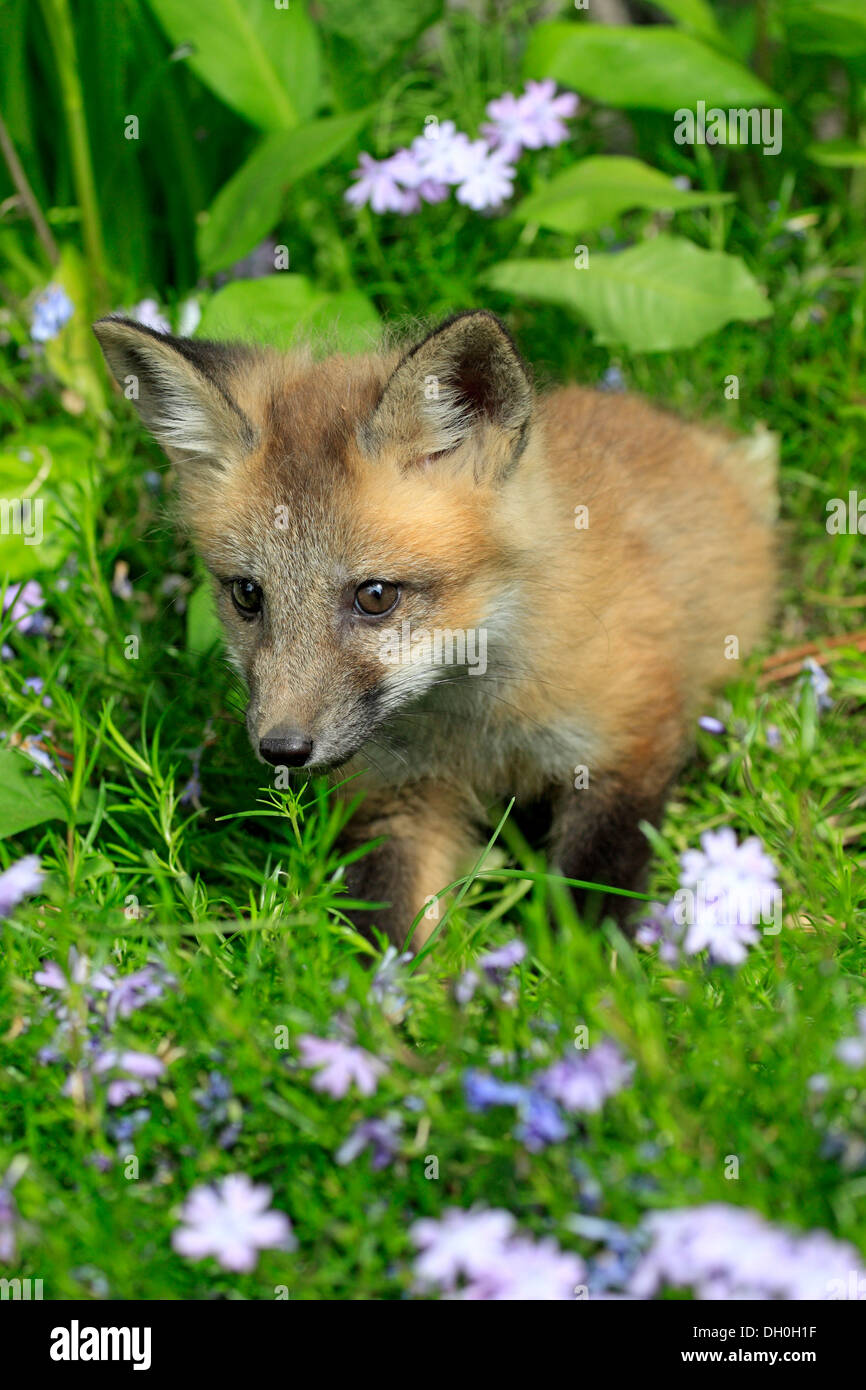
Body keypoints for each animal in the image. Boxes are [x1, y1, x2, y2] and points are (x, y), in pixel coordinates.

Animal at [93, 310, 777, 949]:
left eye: (375, 596)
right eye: (247, 595)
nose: (281, 748)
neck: (472, 726)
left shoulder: (626, 745)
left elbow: (592, 902)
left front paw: (588, 977)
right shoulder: (396, 799)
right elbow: (393, 935)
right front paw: (396, 999)